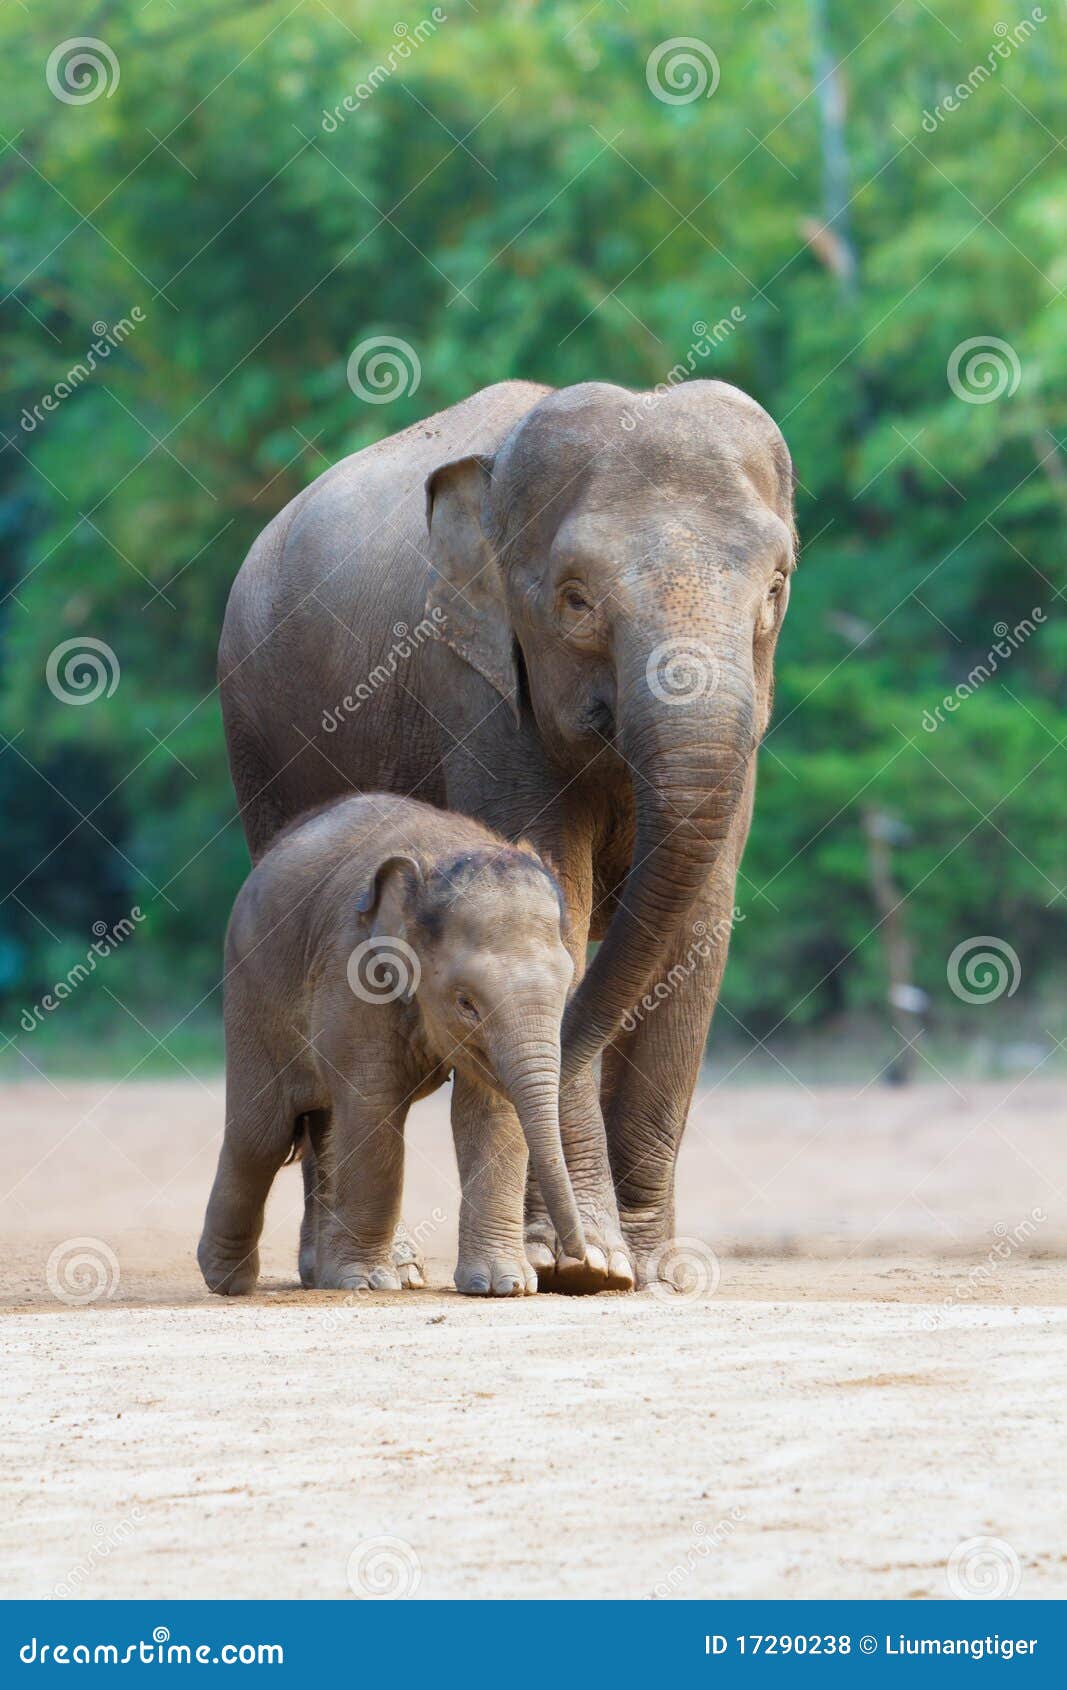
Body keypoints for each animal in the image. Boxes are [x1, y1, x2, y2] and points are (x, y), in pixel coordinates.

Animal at [197, 792, 588, 1298]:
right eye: (466, 1003)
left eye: (567, 989)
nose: (578, 1254)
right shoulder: (351, 969)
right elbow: (373, 1102)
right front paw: (369, 1284)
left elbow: (490, 1110)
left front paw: (505, 1286)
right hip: (250, 988)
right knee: (262, 1135)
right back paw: (228, 1279)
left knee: (323, 1127)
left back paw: (330, 1276)